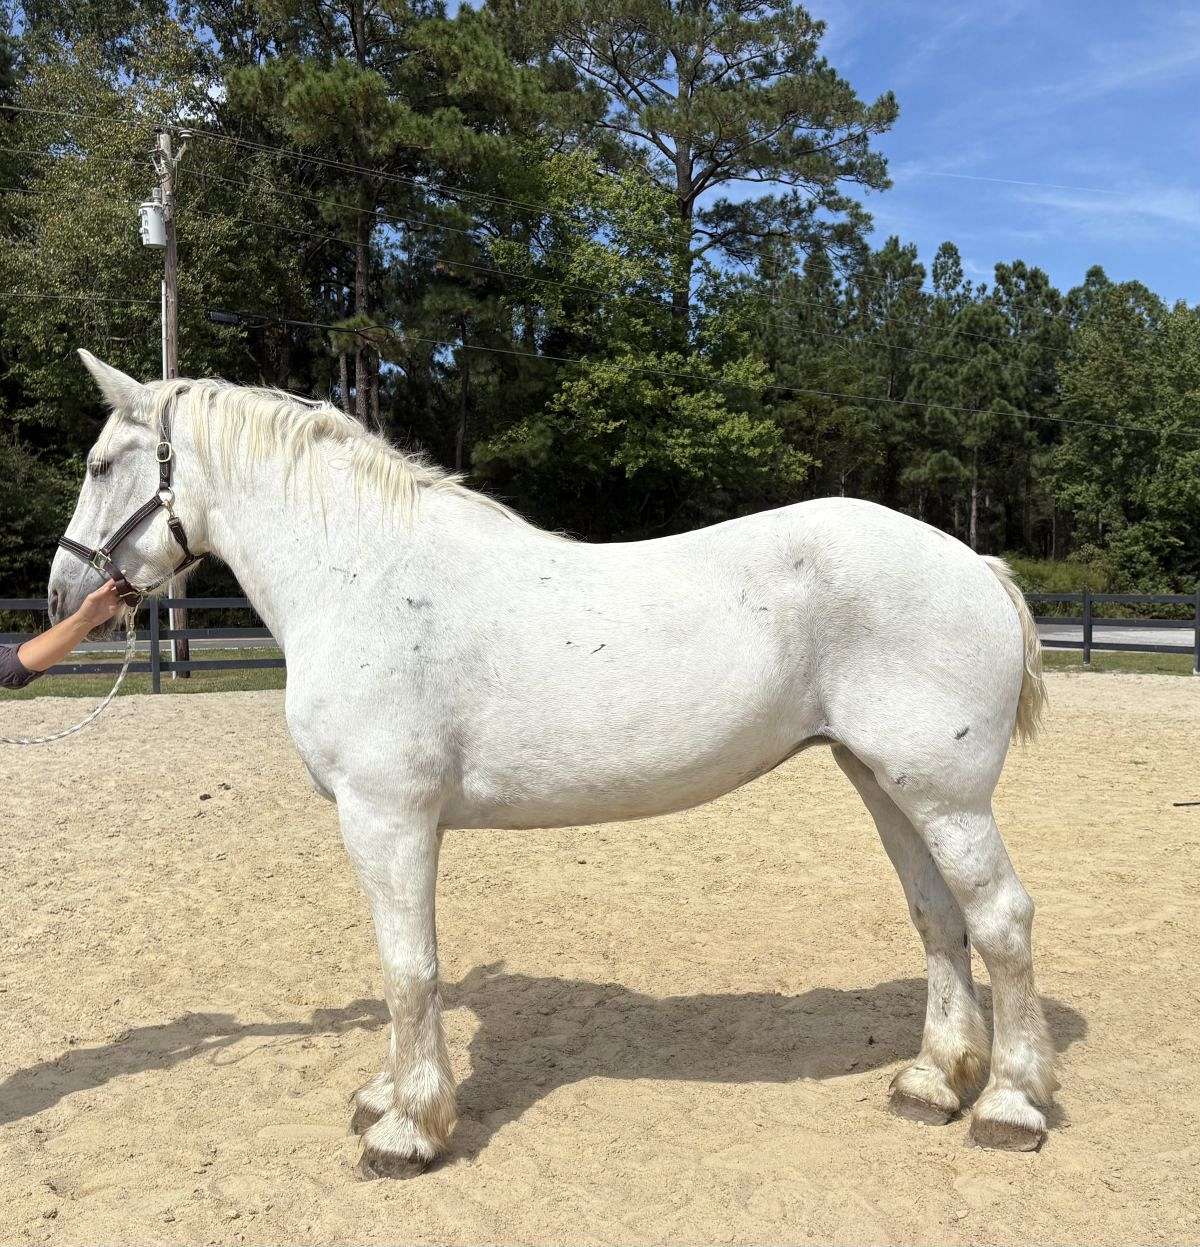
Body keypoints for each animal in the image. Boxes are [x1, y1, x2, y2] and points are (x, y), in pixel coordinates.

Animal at [48, 350, 1056, 1176]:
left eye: (99, 466)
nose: (62, 593)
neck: (364, 577)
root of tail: (976, 563)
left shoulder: (386, 815)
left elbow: (407, 967)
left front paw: (408, 1127)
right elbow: (399, 967)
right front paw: (385, 1095)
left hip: (947, 796)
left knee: (1000, 921)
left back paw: (1009, 1105)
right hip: (885, 782)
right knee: (938, 920)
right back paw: (933, 1082)